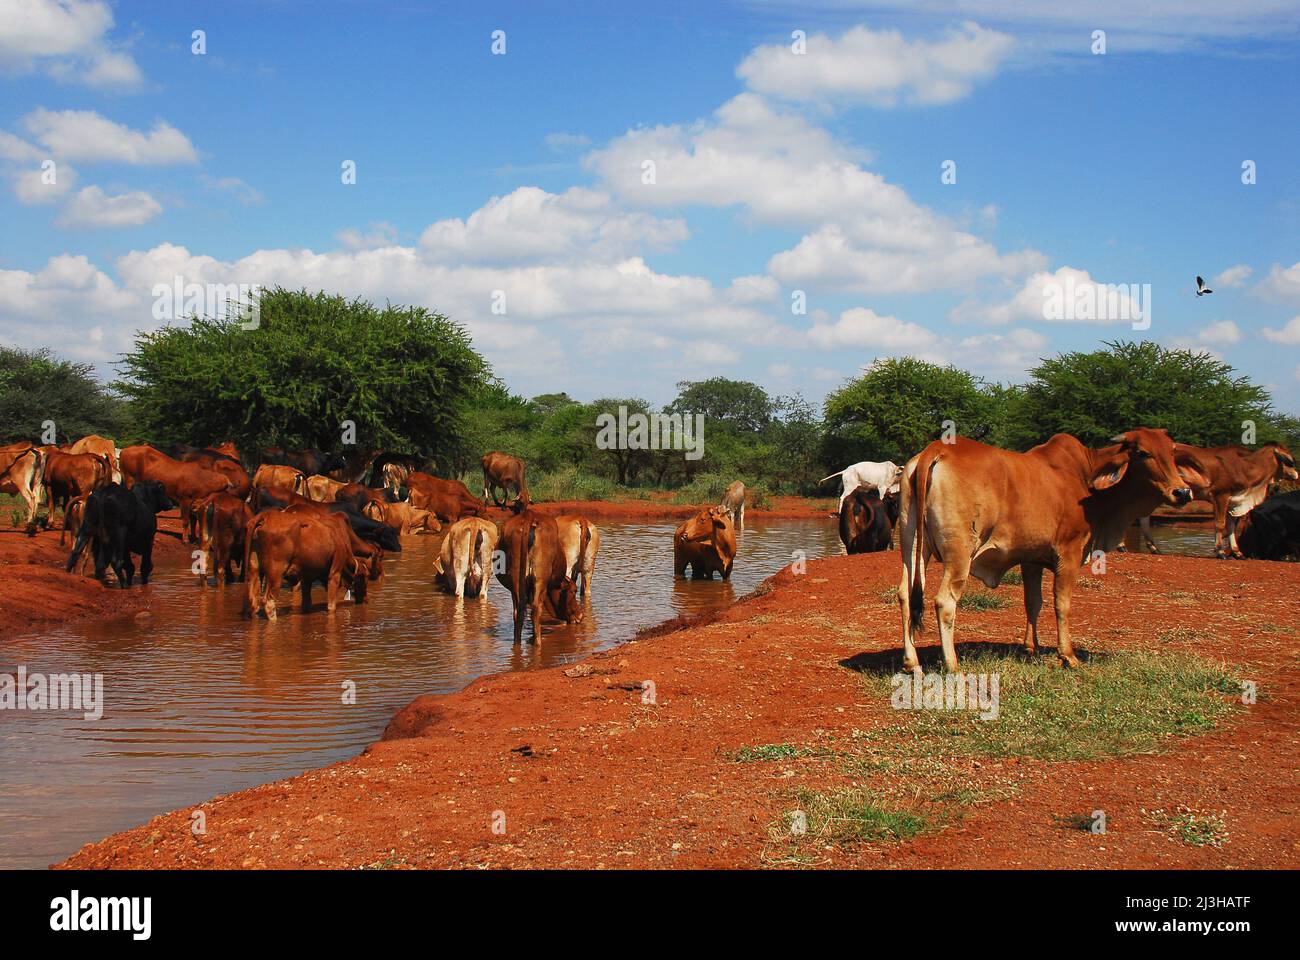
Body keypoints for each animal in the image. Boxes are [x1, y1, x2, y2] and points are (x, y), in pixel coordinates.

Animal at [242, 509, 378, 620]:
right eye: (365, 577)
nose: (366, 599)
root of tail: (265, 515)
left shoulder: (307, 577)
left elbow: (306, 603)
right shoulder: (335, 572)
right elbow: (331, 605)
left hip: (254, 569)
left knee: (253, 602)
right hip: (276, 573)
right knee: (268, 601)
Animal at [496, 510, 582, 643]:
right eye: (573, 591)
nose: (580, 616)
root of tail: (529, 515)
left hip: (516, 579)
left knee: (518, 611)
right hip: (540, 579)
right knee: (536, 609)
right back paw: (537, 642)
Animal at [897, 428, 1206, 674]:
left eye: (1172, 451)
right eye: (1142, 453)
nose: (1182, 492)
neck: (1087, 480)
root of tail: (935, 451)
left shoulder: (1030, 559)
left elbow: (1033, 602)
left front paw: (1030, 648)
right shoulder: (1069, 553)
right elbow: (1062, 603)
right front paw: (1067, 655)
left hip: (913, 546)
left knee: (905, 595)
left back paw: (912, 662)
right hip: (959, 553)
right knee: (944, 602)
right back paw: (952, 664)